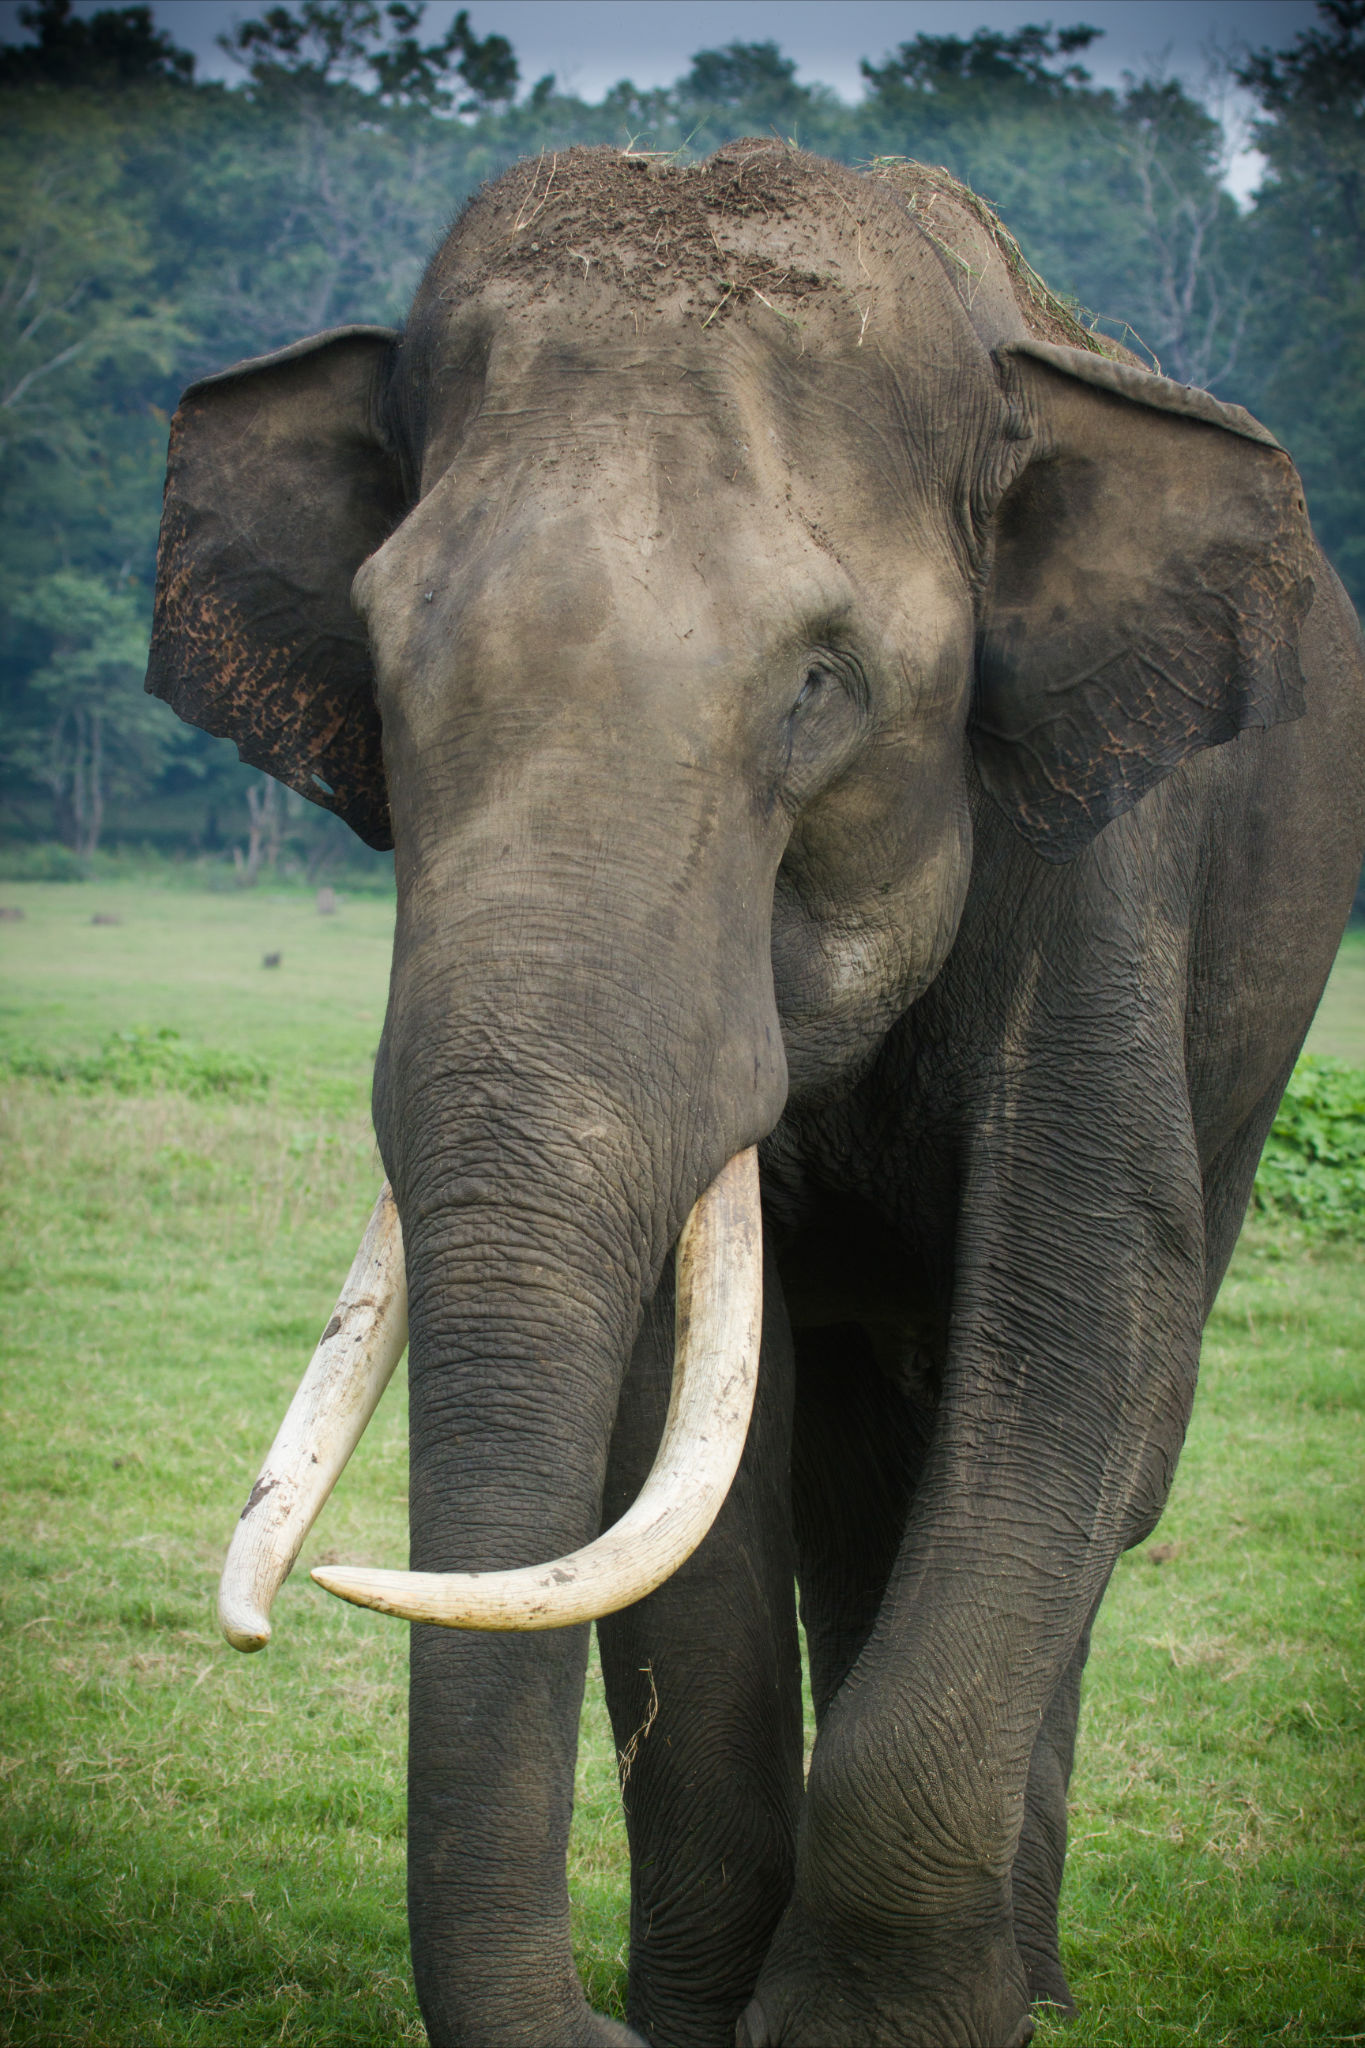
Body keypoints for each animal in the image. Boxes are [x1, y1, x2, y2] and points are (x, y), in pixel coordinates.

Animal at [146, 143, 1365, 2048]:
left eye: (816, 685)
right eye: (377, 663)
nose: (595, 2027)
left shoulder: (1100, 861)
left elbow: (1083, 1315)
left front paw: (877, 2028)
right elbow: (685, 1438)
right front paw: (708, 2019)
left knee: (1103, 1455)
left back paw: (1036, 1983)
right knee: (865, 1478)